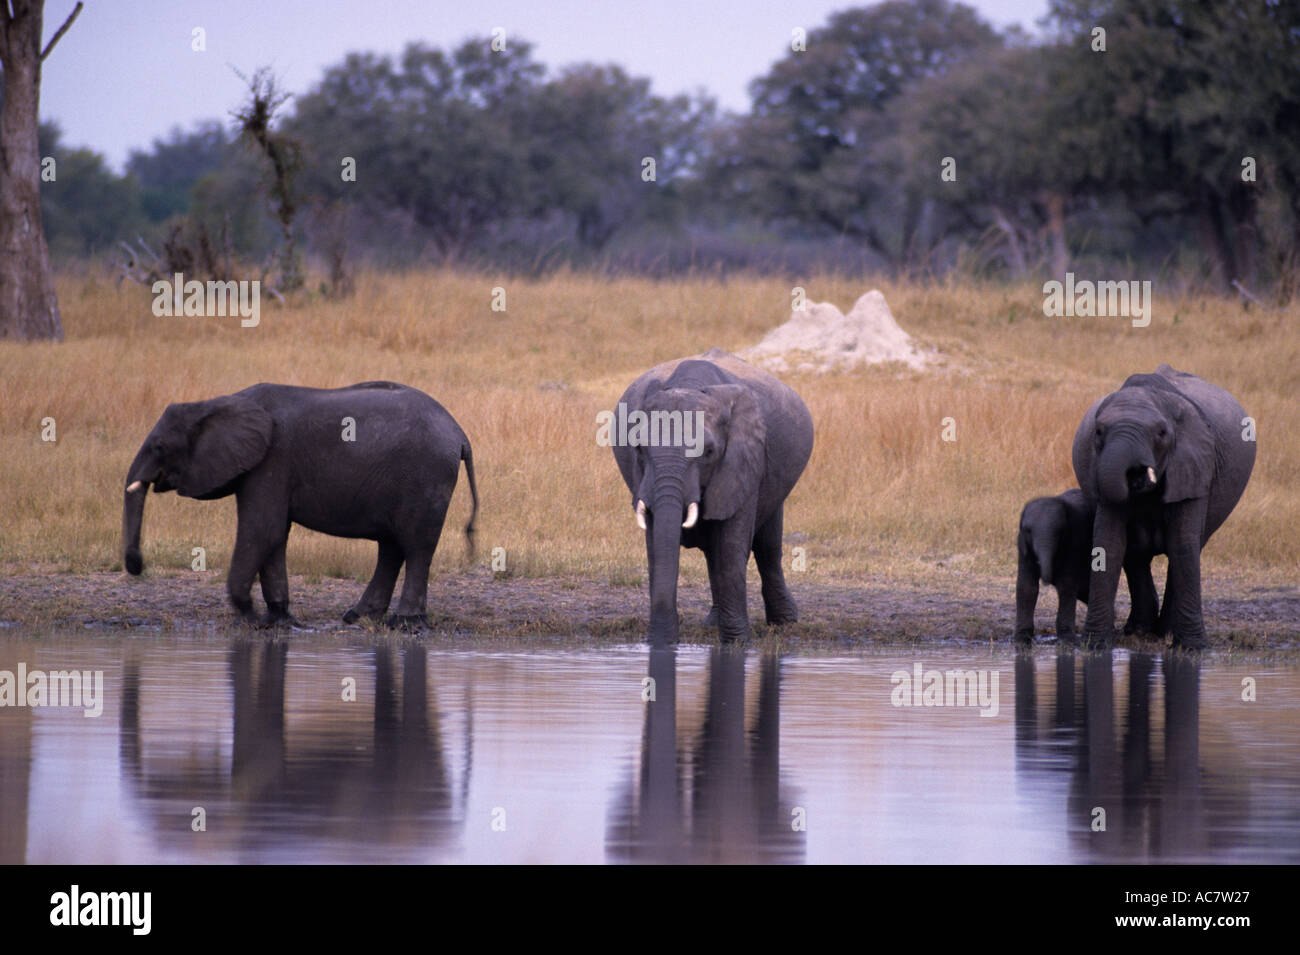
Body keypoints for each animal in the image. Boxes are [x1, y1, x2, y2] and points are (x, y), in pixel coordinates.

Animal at [122, 381, 479, 628]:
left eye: (160, 446)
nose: (137, 567)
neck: (215, 402)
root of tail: (460, 434)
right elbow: (274, 534)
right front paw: (278, 620)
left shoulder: (272, 460)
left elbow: (262, 530)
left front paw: (249, 617)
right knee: (391, 547)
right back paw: (358, 617)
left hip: (426, 475)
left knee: (417, 546)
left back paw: (404, 623)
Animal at [610, 348, 813, 643]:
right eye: (638, 448)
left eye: (708, 452)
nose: (663, 641)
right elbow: (657, 545)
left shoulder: (743, 460)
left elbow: (731, 546)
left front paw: (737, 643)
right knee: (714, 554)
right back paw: (713, 623)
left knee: (767, 547)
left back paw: (784, 622)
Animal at [1072, 364, 1254, 648]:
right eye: (1098, 432)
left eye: (1161, 434)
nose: (1137, 477)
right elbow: (1109, 544)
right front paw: (1094, 646)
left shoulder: (1194, 466)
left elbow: (1182, 545)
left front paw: (1193, 649)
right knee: (1135, 555)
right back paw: (1139, 630)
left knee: (1188, 547)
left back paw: (1163, 632)